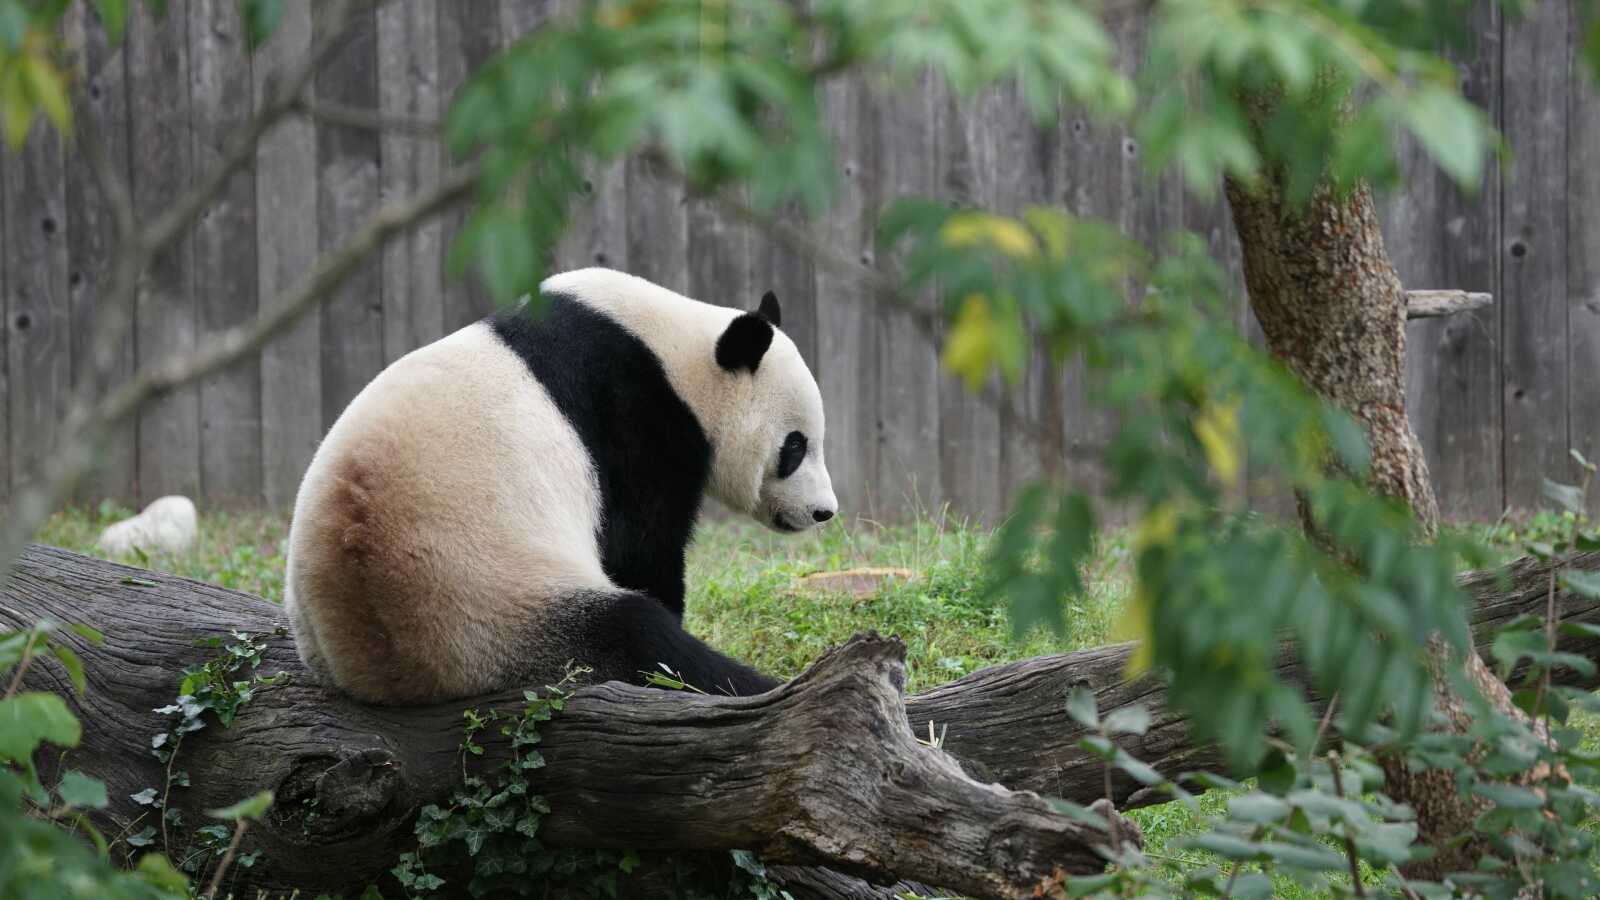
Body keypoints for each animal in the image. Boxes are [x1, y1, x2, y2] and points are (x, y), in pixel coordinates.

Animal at [283, 267, 837, 704]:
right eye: (795, 447)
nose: (823, 512)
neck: (676, 350)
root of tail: (383, 670)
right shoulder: (632, 417)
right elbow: (639, 548)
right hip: (491, 616)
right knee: (638, 639)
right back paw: (757, 685)